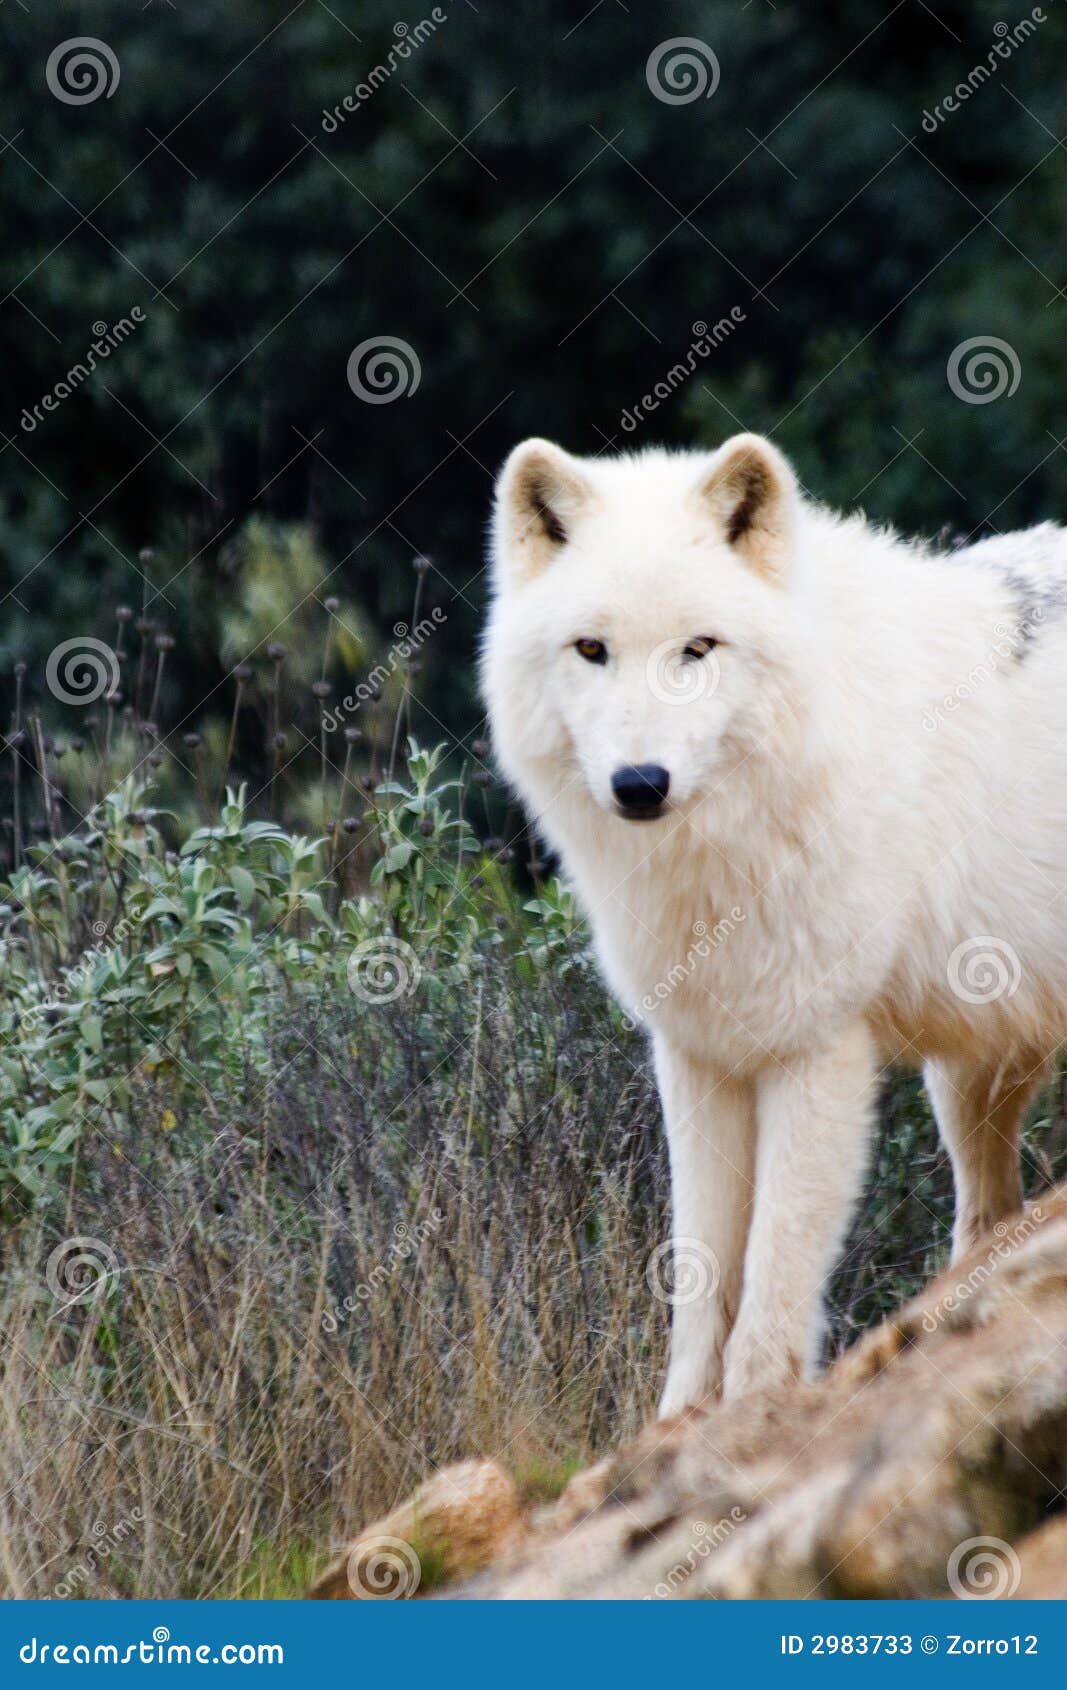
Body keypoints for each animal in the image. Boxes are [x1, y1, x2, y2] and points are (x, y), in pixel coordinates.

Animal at [482, 431, 1067, 1416]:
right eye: (591, 649)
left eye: (697, 649)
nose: (639, 783)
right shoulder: (697, 1055)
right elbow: (700, 1271)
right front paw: (679, 1422)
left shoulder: (815, 1050)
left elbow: (775, 1268)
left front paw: (752, 1412)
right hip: (971, 1079)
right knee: (988, 1218)